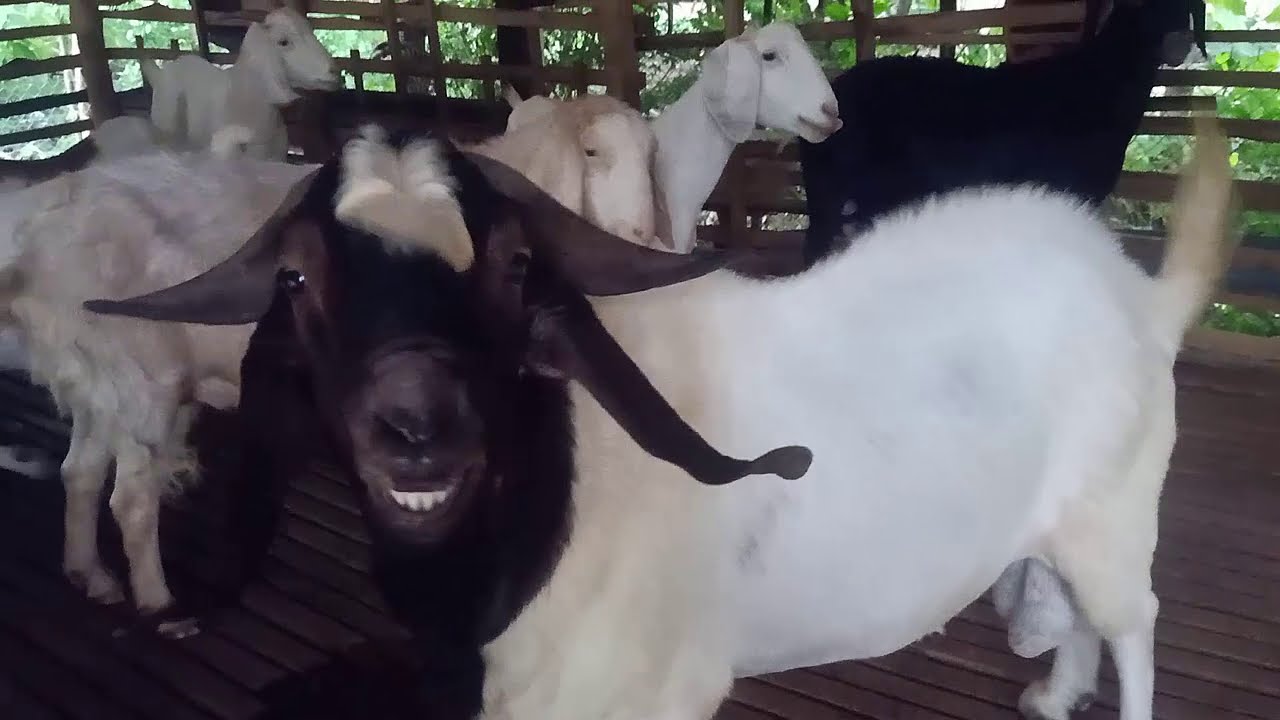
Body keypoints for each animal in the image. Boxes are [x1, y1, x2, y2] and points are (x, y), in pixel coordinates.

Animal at [0, 102, 674, 637]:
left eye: (653, 155)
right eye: (592, 152)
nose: (647, 236)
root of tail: (38, 230)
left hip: (97, 382)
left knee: (79, 472)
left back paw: (91, 575)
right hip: (144, 382)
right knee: (133, 500)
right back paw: (161, 606)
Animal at [85, 113, 1235, 720]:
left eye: (516, 267)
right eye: (294, 279)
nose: (416, 428)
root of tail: (1134, 293)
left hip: (1116, 512)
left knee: (1131, 623)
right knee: (1074, 609)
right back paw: (1053, 694)